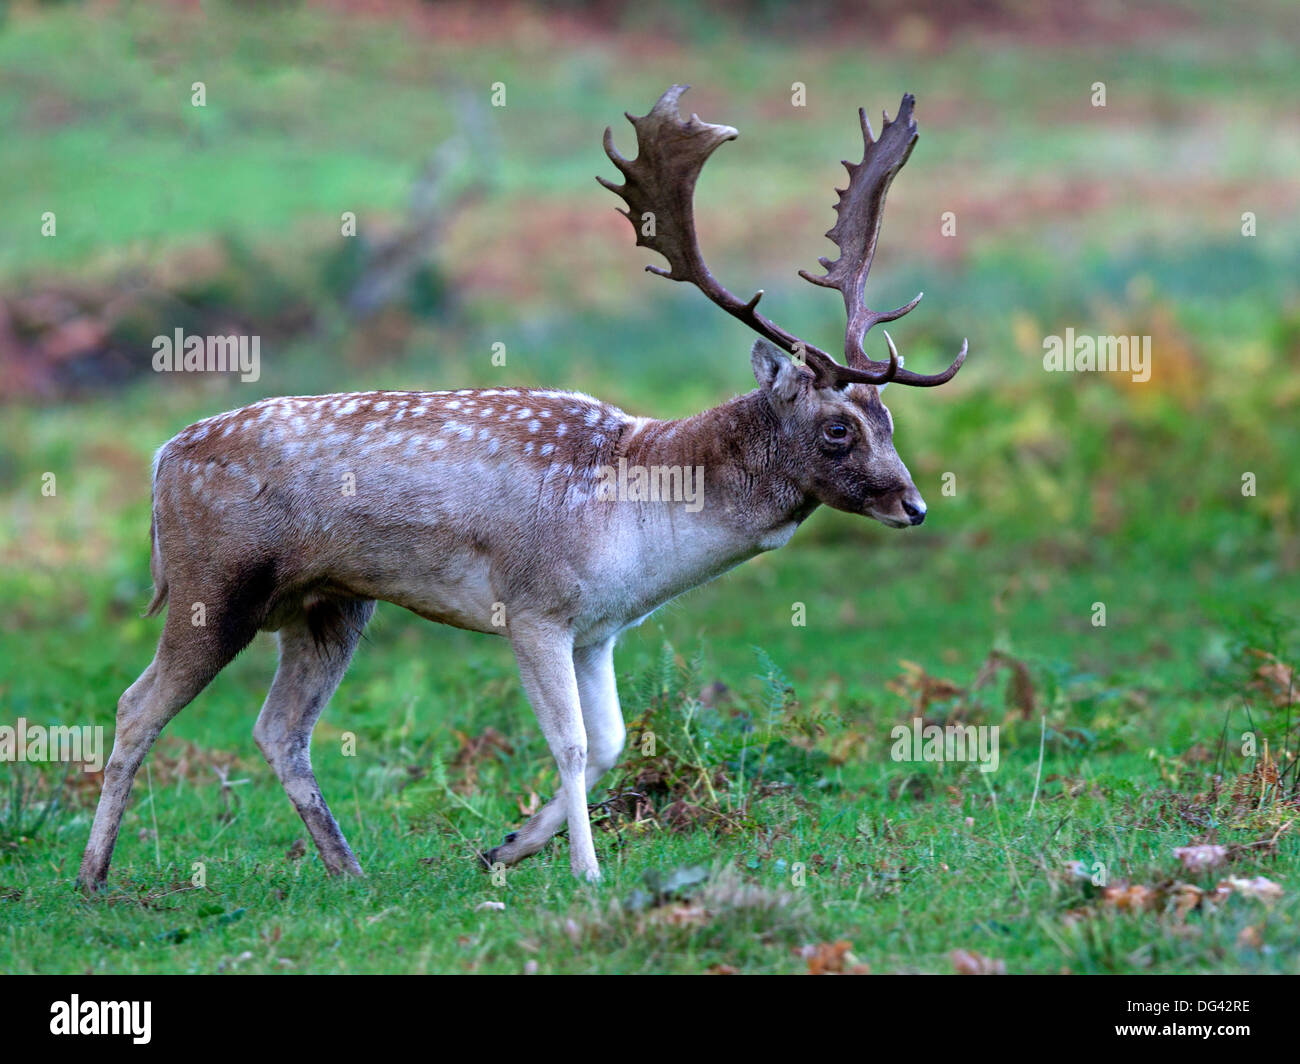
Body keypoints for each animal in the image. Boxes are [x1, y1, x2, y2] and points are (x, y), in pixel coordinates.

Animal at [78, 85, 966, 890]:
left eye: (888, 417)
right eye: (838, 428)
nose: (913, 504)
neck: (638, 516)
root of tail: (161, 459)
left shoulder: (599, 630)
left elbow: (610, 743)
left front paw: (506, 847)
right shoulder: (535, 605)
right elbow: (570, 744)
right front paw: (586, 871)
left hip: (330, 606)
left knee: (278, 730)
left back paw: (349, 870)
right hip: (212, 582)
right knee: (135, 705)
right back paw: (93, 875)